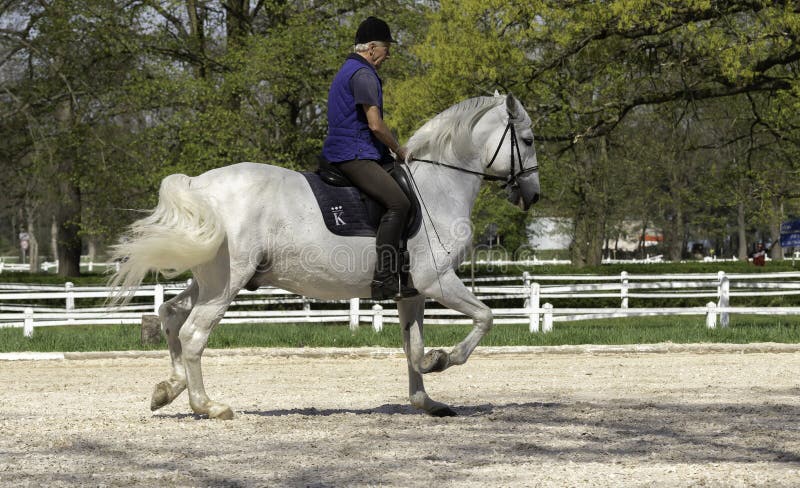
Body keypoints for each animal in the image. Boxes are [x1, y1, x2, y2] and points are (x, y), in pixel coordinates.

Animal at [108, 92, 540, 419]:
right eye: (529, 140)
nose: (531, 195)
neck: (438, 188)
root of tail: (199, 187)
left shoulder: (411, 292)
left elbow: (412, 348)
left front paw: (428, 397)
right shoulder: (438, 281)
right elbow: (485, 317)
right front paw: (445, 359)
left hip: (210, 280)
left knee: (171, 315)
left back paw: (168, 389)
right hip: (227, 283)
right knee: (193, 333)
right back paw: (209, 406)